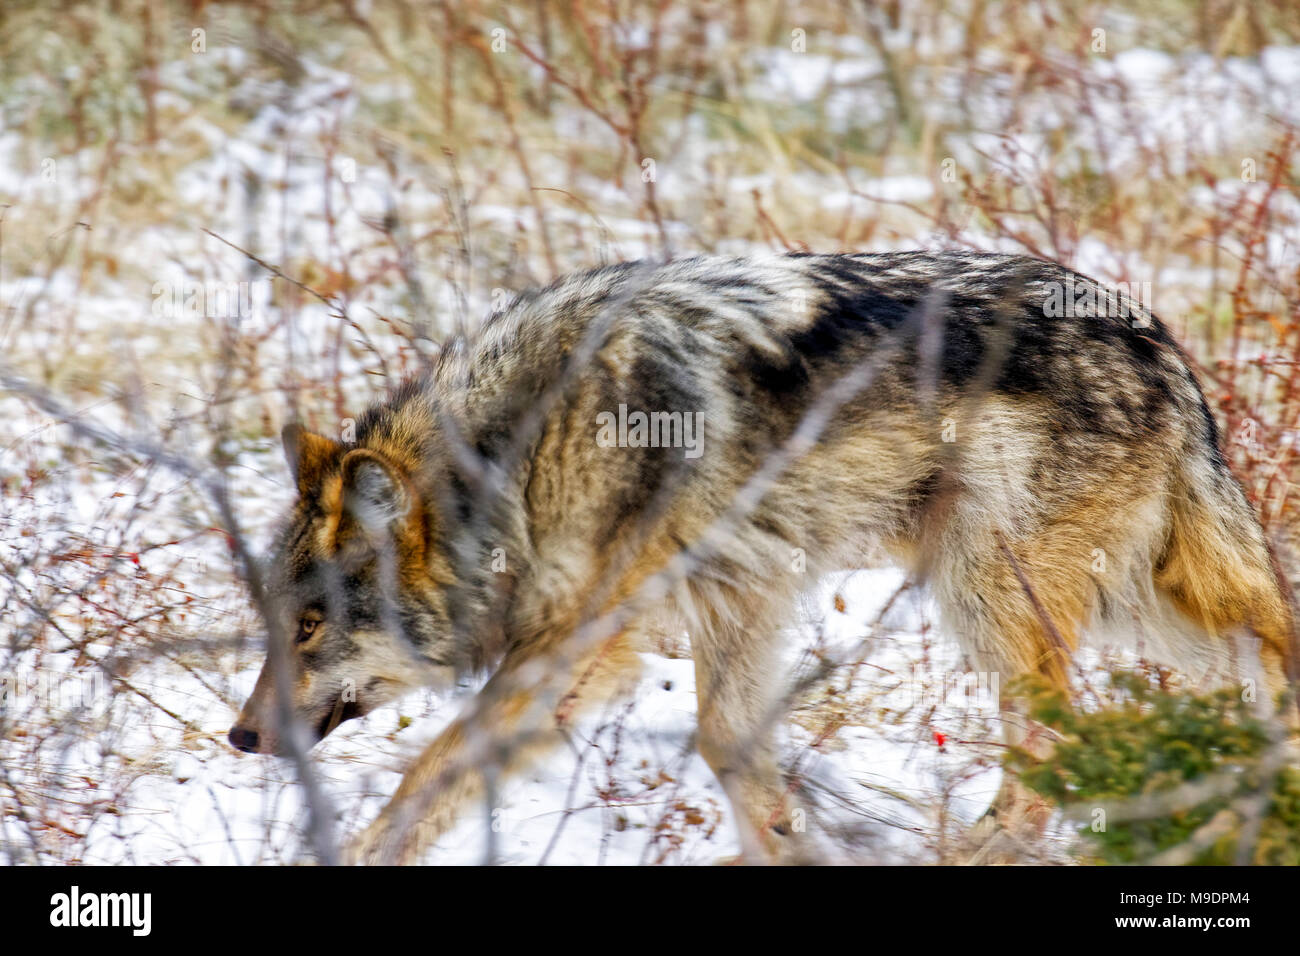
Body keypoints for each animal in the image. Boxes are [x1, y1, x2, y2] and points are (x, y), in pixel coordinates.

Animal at [228, 251, 1297, 863]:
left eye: (313, 625)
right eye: (275, 624)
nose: (238, 738)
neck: (518, 464)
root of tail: (1159, 340)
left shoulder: (578, 650)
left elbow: (422, 779)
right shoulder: (735, 603)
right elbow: (727, 748)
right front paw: (783, 847)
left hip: (993, 595)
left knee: (1054, 748)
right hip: (1124, 602)